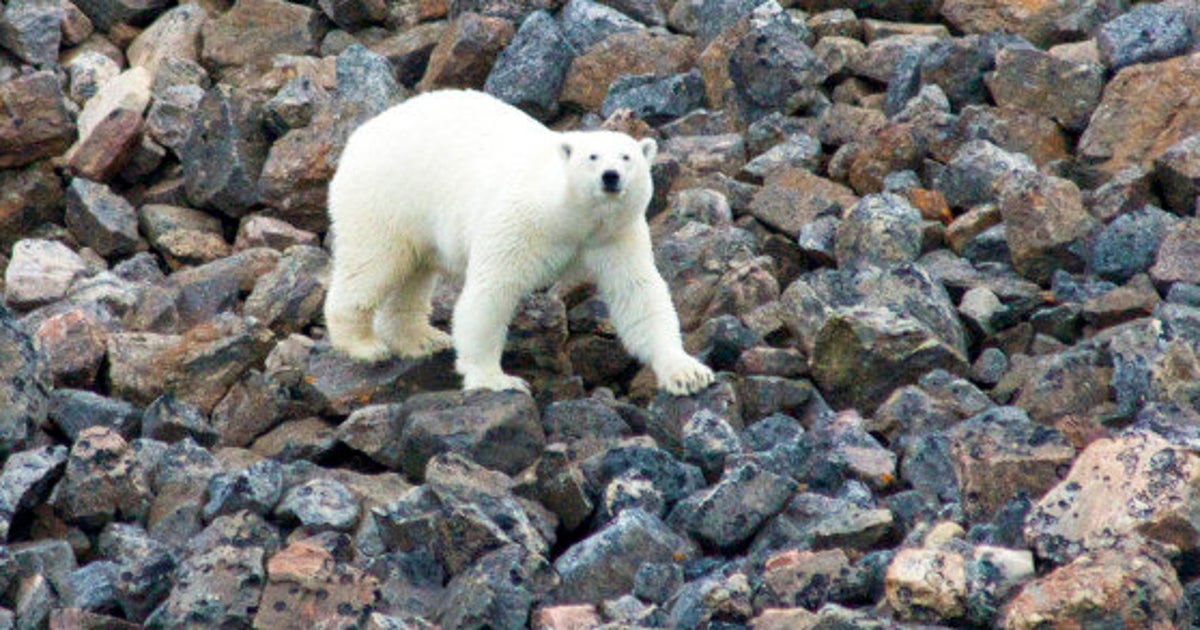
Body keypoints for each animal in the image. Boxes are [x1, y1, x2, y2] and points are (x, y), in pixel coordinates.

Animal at [323, 89, 714, 395]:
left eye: (627, 157)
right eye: (592, 157)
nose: (611, 177)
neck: (572, 218)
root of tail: (361, 134)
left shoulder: (616, 235)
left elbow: (639, 293)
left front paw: (687, 373)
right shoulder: (521, 224)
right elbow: (492, 291)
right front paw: (496, 380)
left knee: (413, 273)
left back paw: (422, 339)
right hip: (387, 197)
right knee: (373, 263)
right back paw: (363, 345)